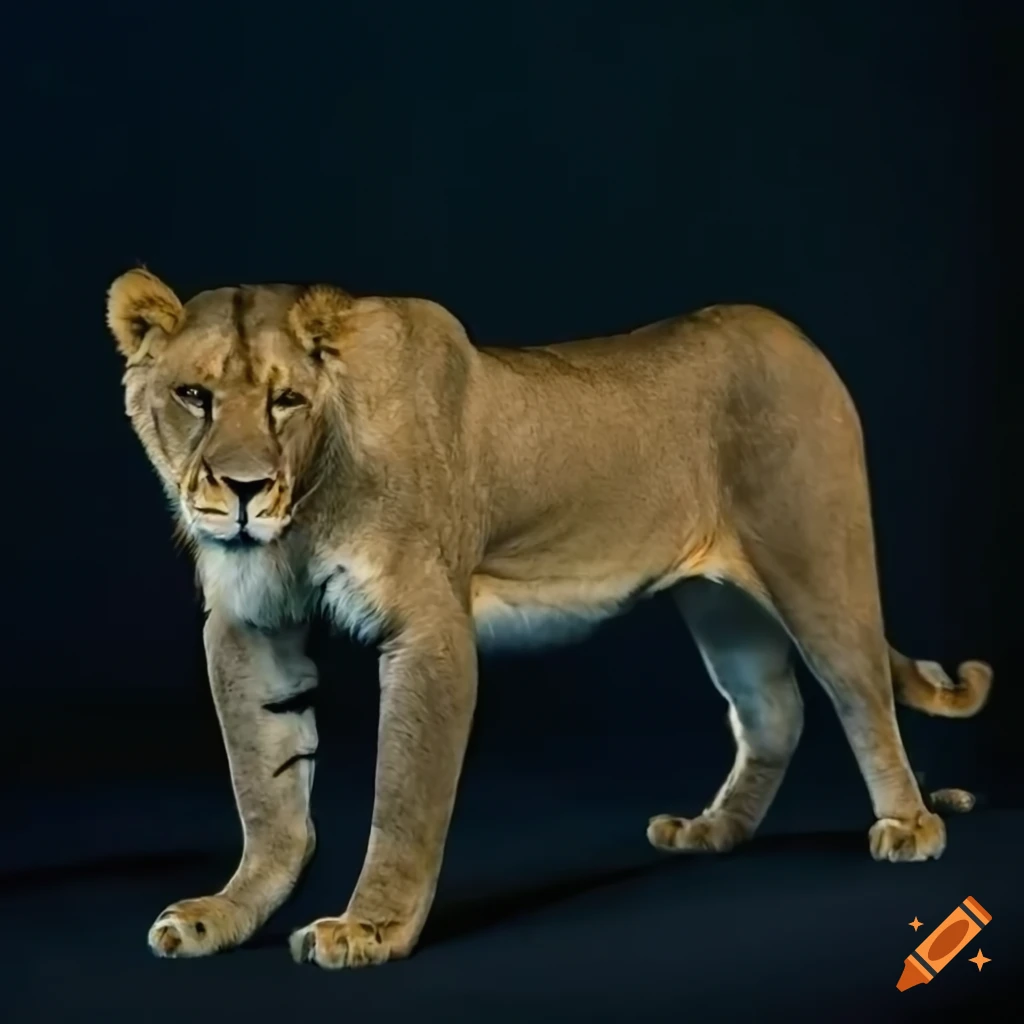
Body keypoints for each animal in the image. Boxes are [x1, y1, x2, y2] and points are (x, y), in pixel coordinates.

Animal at [105, 268, 992, 970]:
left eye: (286, 401)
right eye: (194, 396)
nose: (245, 489)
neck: (303, 508)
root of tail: (793, 334)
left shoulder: (428, 626)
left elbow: (404, 794)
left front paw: (370, 928)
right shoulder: (248, 628)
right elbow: (267, 791)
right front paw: (225, 912)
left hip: (815, 558)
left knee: (859, 692)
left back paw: (909, 825)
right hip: (720, 601)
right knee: (774, 711)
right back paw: (713, 830)